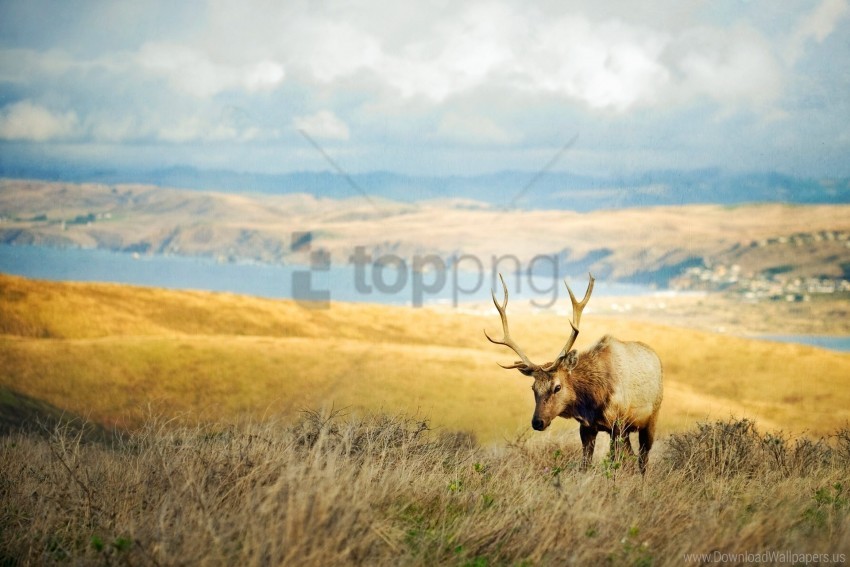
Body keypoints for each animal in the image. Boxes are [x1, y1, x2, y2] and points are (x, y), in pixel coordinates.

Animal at [485, 273, 663, 474]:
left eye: (557, 387)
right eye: (533, 387)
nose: (537, 422)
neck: (593, 400)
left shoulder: (617, 424)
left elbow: (613, 465)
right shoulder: (587, 427)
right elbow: (585, 465)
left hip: (651, 418)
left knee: (643, 459)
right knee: (633, 456)